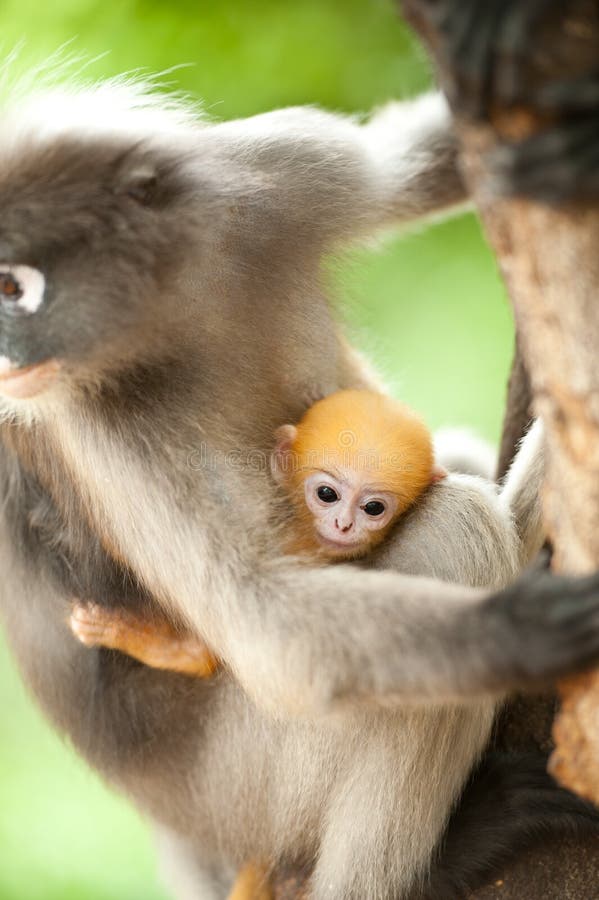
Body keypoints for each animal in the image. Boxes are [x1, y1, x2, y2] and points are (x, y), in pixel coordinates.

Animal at [2, 73, 599, 900]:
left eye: (9, 285)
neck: (169, 312)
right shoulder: (95, 423)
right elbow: (266, 627)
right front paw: (534, 625)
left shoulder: (272, 182)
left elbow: (413, 159)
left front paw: (562, 136)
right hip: (247, 784)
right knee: (457, 532)